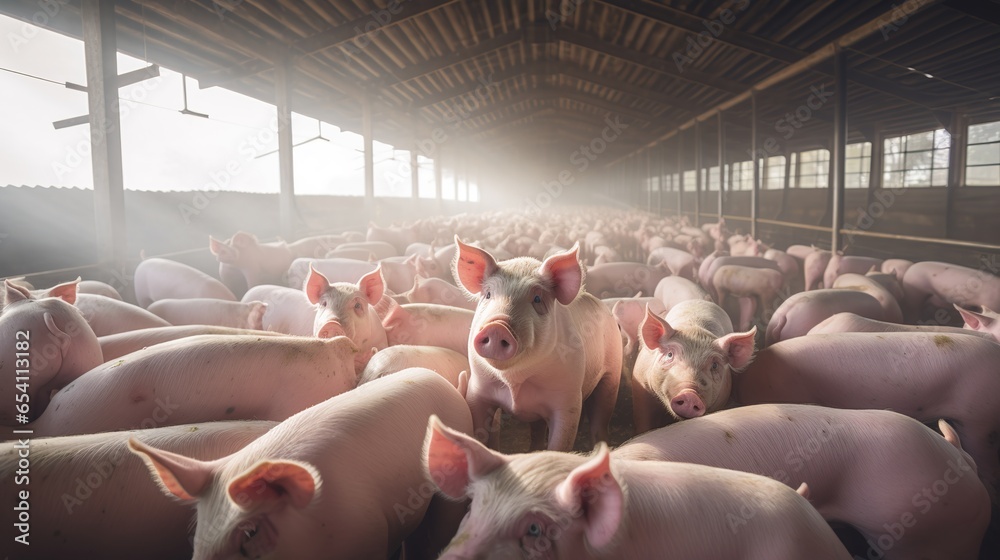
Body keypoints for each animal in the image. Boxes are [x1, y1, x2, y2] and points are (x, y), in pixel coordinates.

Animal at [455, 238, 623, 451]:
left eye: (537, 299)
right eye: (488, 295)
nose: (497, 327)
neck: (515, 382)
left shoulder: (568, 399)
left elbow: (560, 443)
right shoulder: (478, 389)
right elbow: (478, 429)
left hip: (612, 374)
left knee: (600, 422)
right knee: (537, 430)